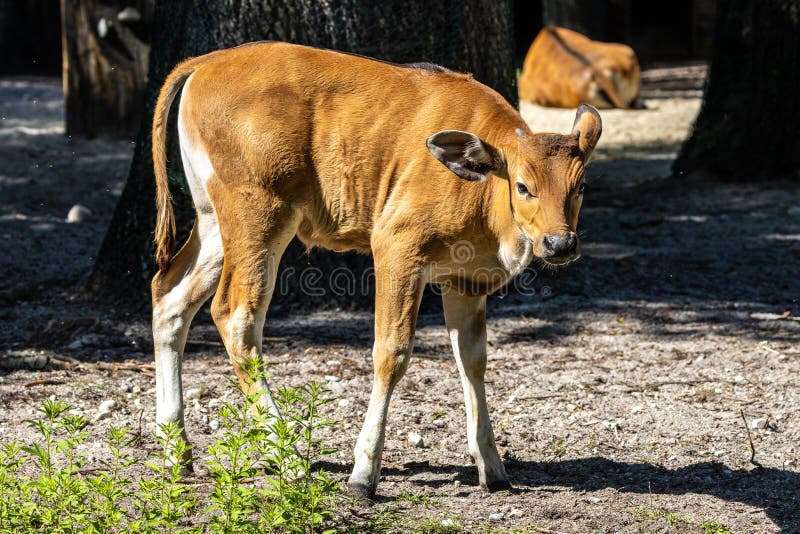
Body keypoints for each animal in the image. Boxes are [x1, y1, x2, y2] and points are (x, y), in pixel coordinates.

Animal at [150, 41, 601, 499]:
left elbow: (472, 360)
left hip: (213, 221)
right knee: (235, 314)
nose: (560, 244)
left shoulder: (465, 280)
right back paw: (289, 456)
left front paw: (492, 469)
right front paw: (363, 473)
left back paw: (177, 452)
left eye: (581, 186)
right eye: (523, 186)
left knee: (169, 296)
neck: (484, 194)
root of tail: (205, 63)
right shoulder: (396, 247)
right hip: (259, 214)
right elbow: (392, 352)